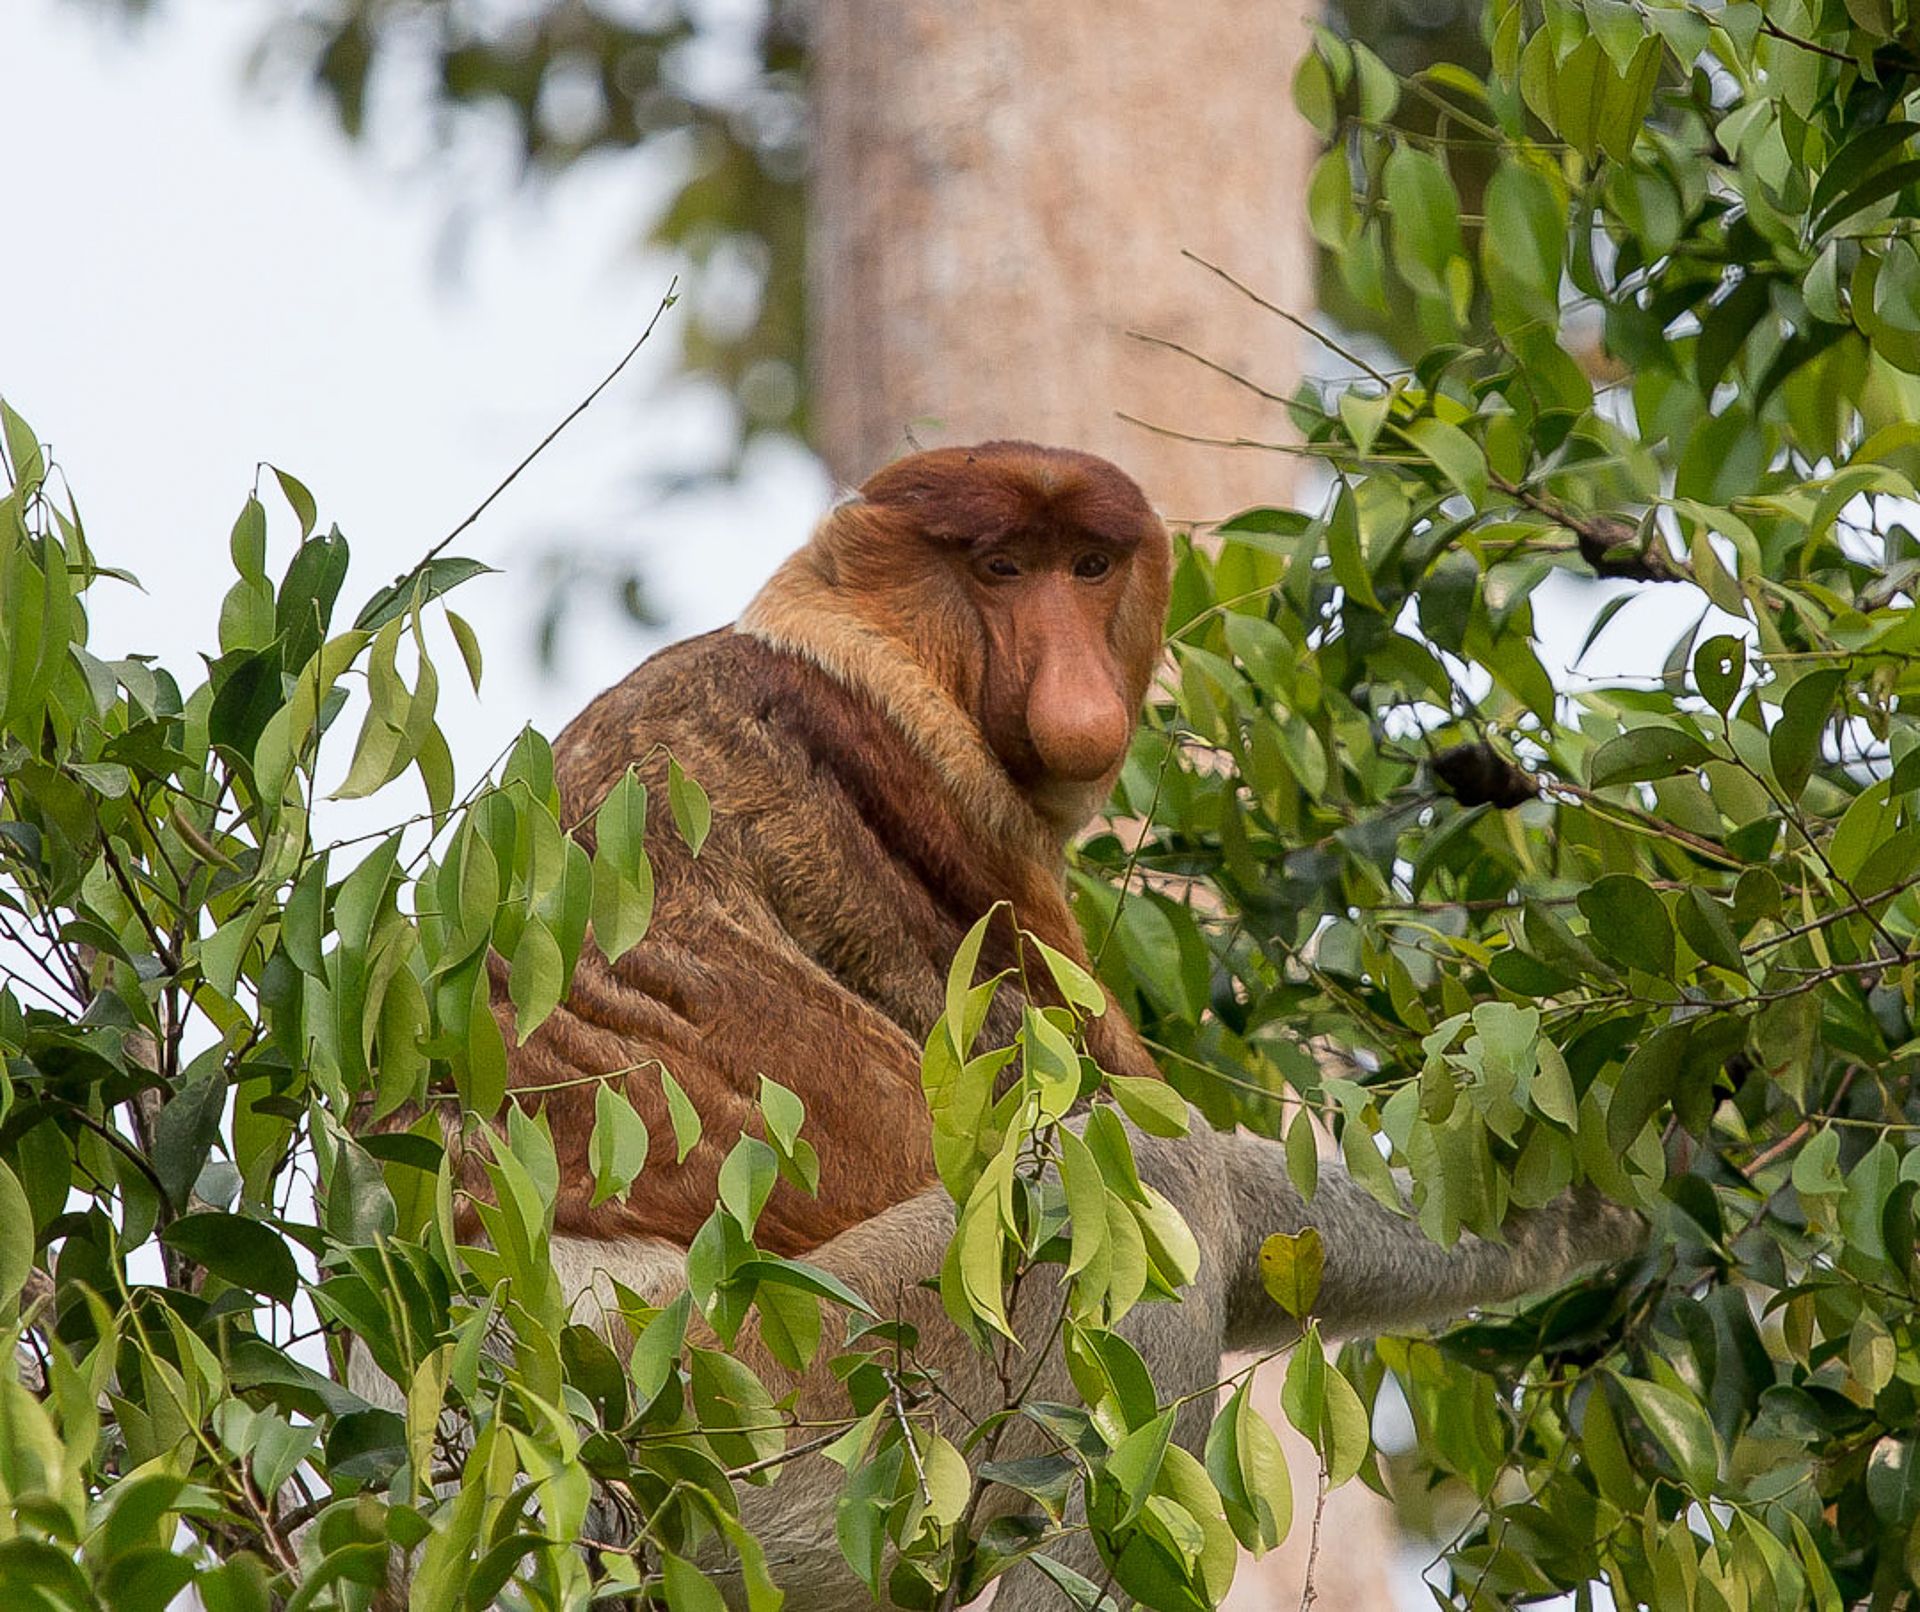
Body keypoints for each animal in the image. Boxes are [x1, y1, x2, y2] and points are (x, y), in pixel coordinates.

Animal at [362, 442, 1645, 1608]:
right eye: (1000, 568)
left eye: (1089, 565)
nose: (1080, 694)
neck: (844, 632)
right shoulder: (939, 814)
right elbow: (1166, 1149)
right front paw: (1627, 1189)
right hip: (780, 1402)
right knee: (1138, 1185)